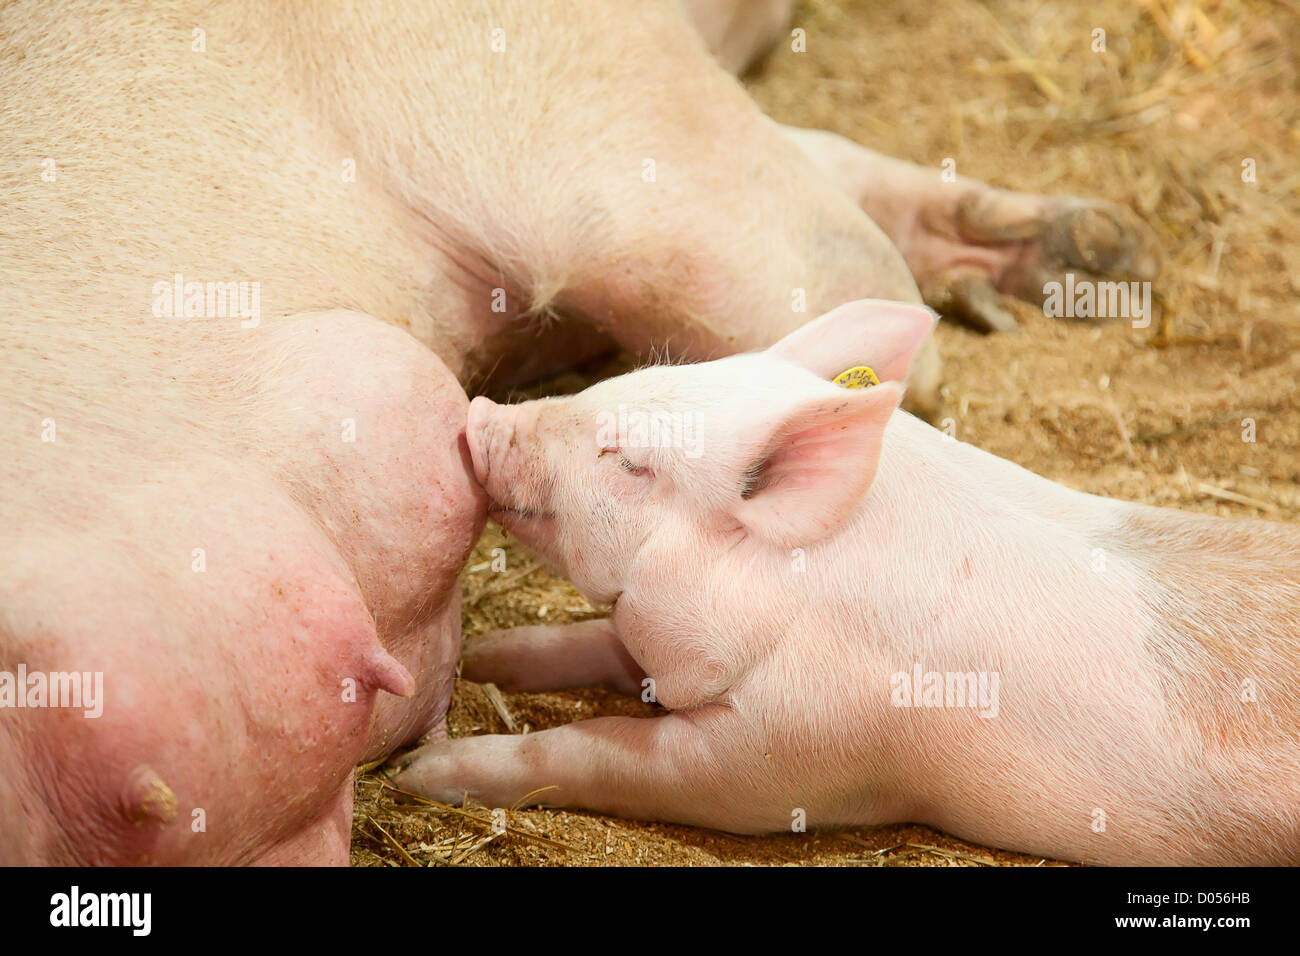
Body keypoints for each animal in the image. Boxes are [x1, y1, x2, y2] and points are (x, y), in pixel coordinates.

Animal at [392, 299, 1300, 866]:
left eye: (632, 462)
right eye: (622, 383)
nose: (479, 411)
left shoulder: (791, 756)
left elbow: (592, 749)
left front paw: (419, 775)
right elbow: (591, 642)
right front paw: (490, 657)